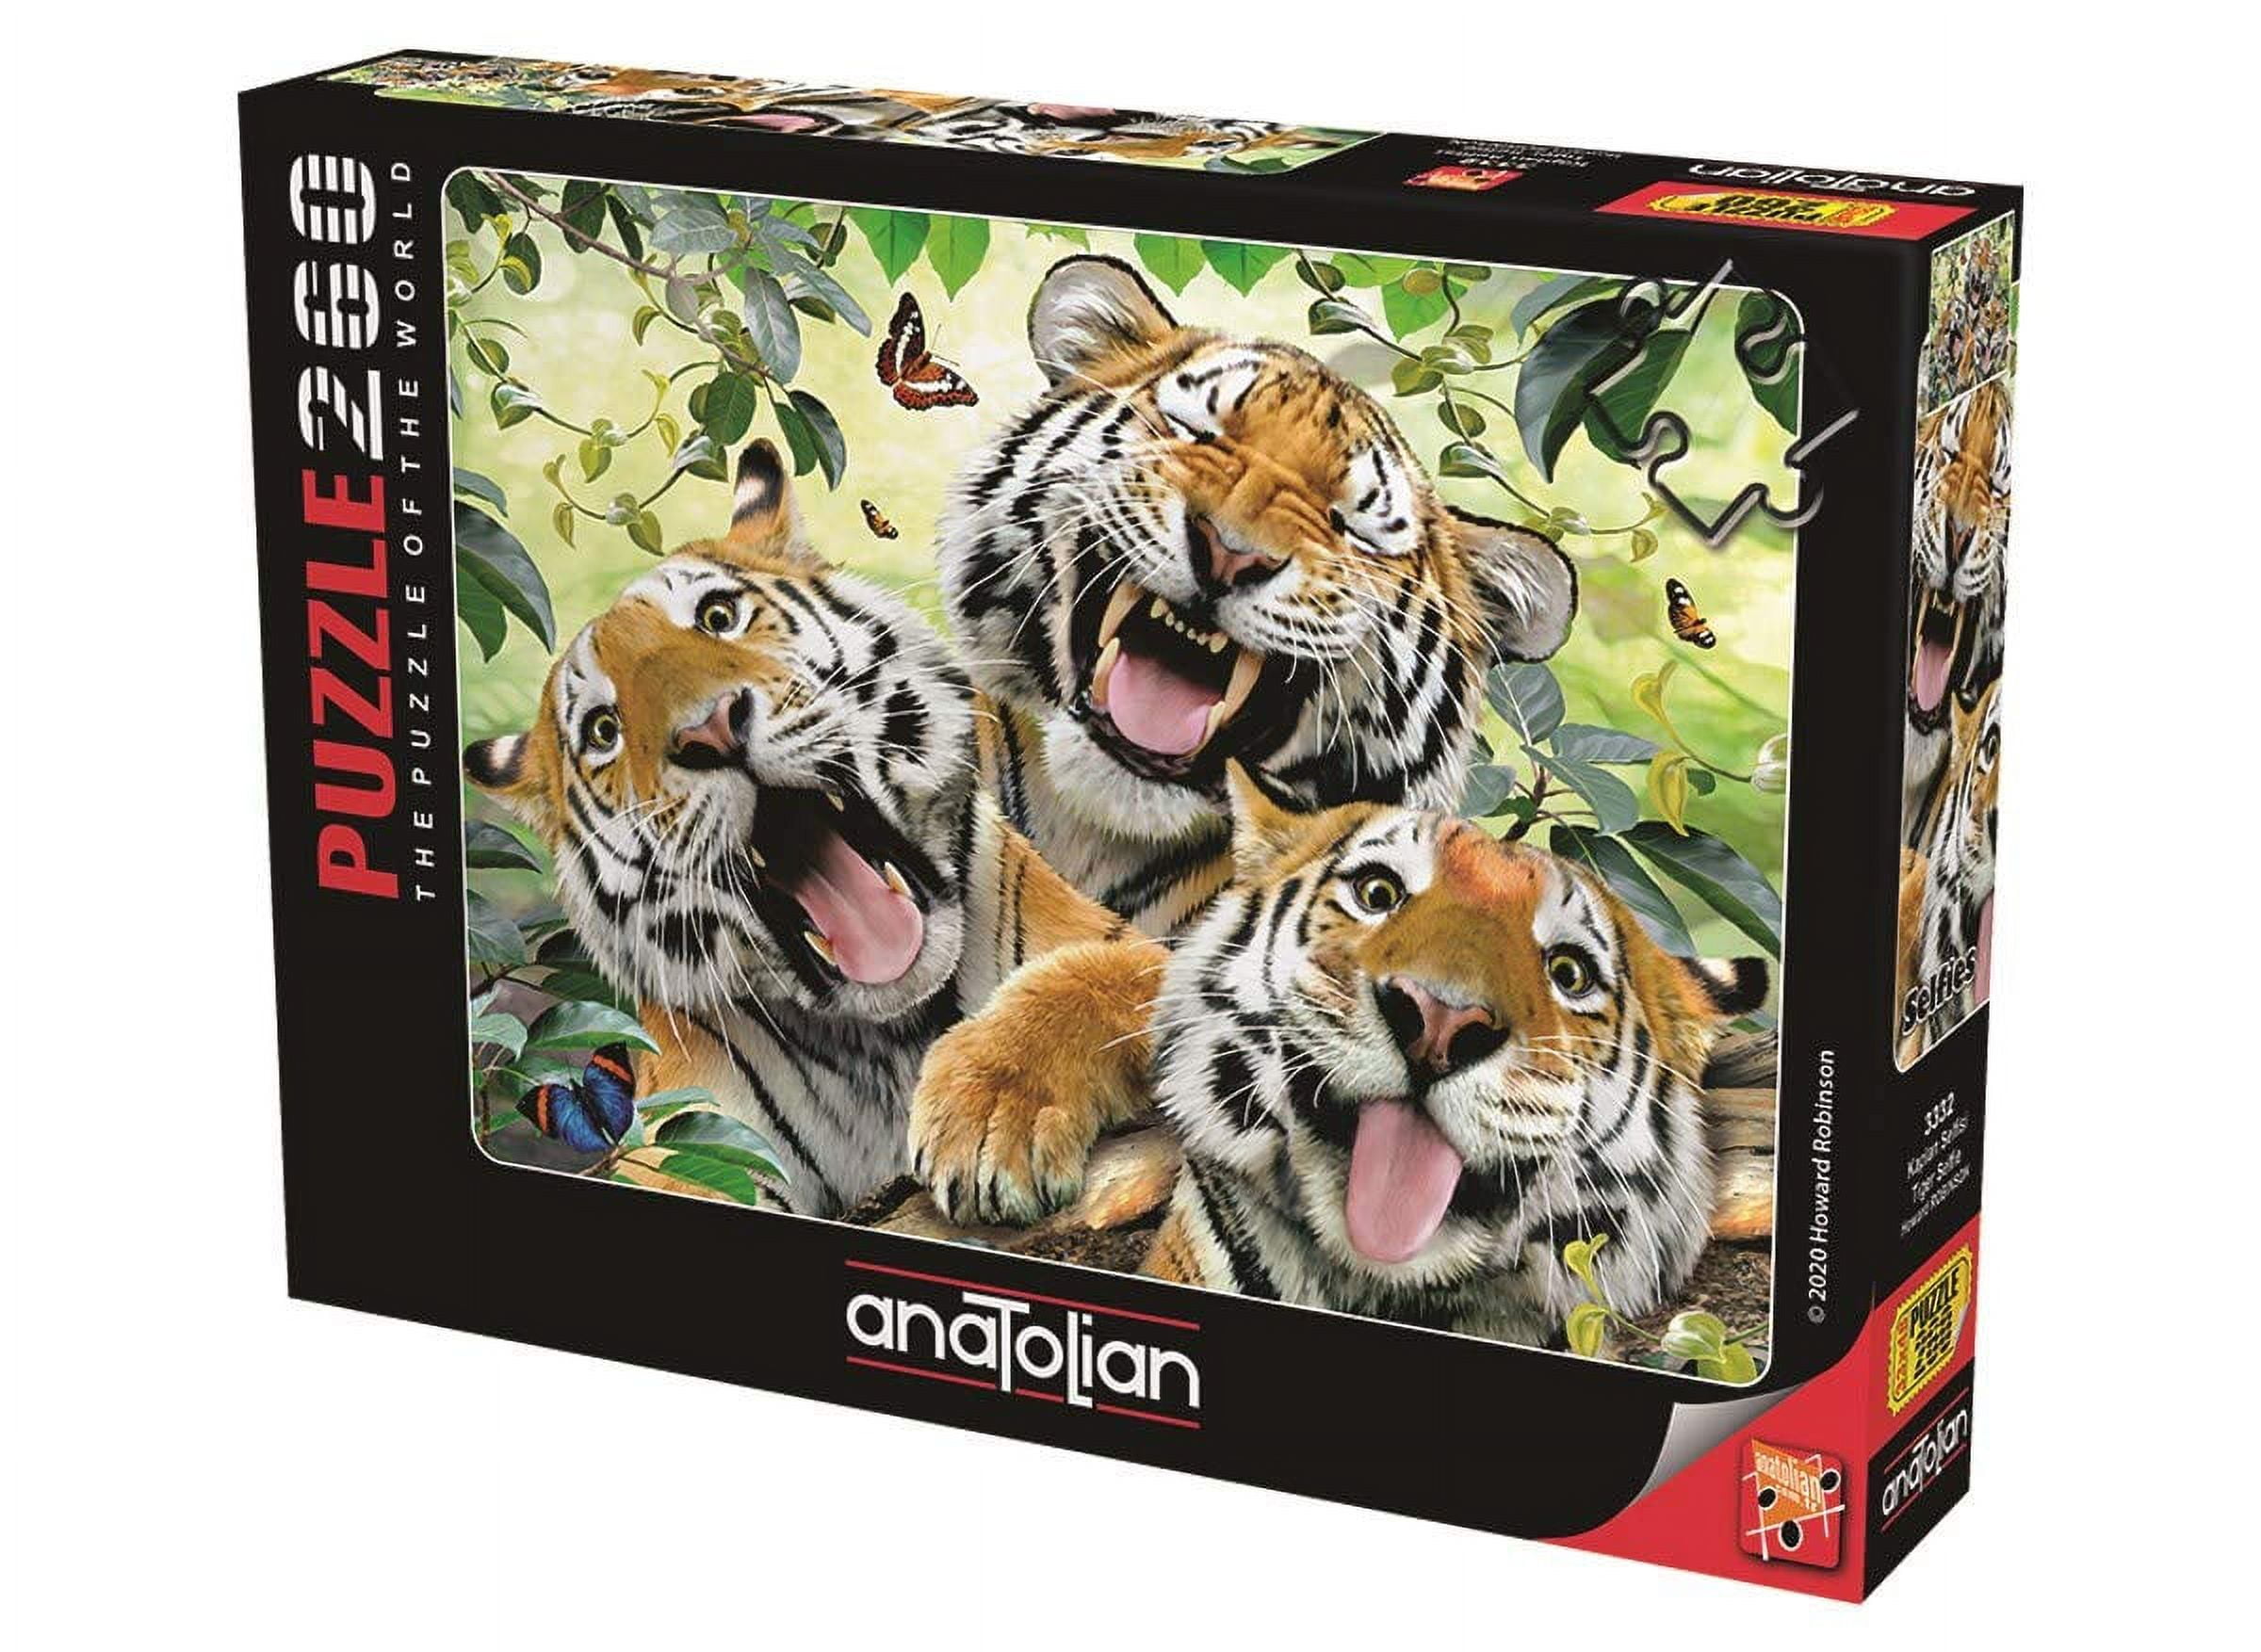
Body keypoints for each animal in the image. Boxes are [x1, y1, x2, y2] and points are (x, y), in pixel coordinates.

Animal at [463, 441, 1134, 1217]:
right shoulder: (699, 1135)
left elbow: (1090, 982)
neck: (894, 1036)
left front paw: (995, 1116)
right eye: (604, 730)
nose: (709, 729)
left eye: (718, 615)